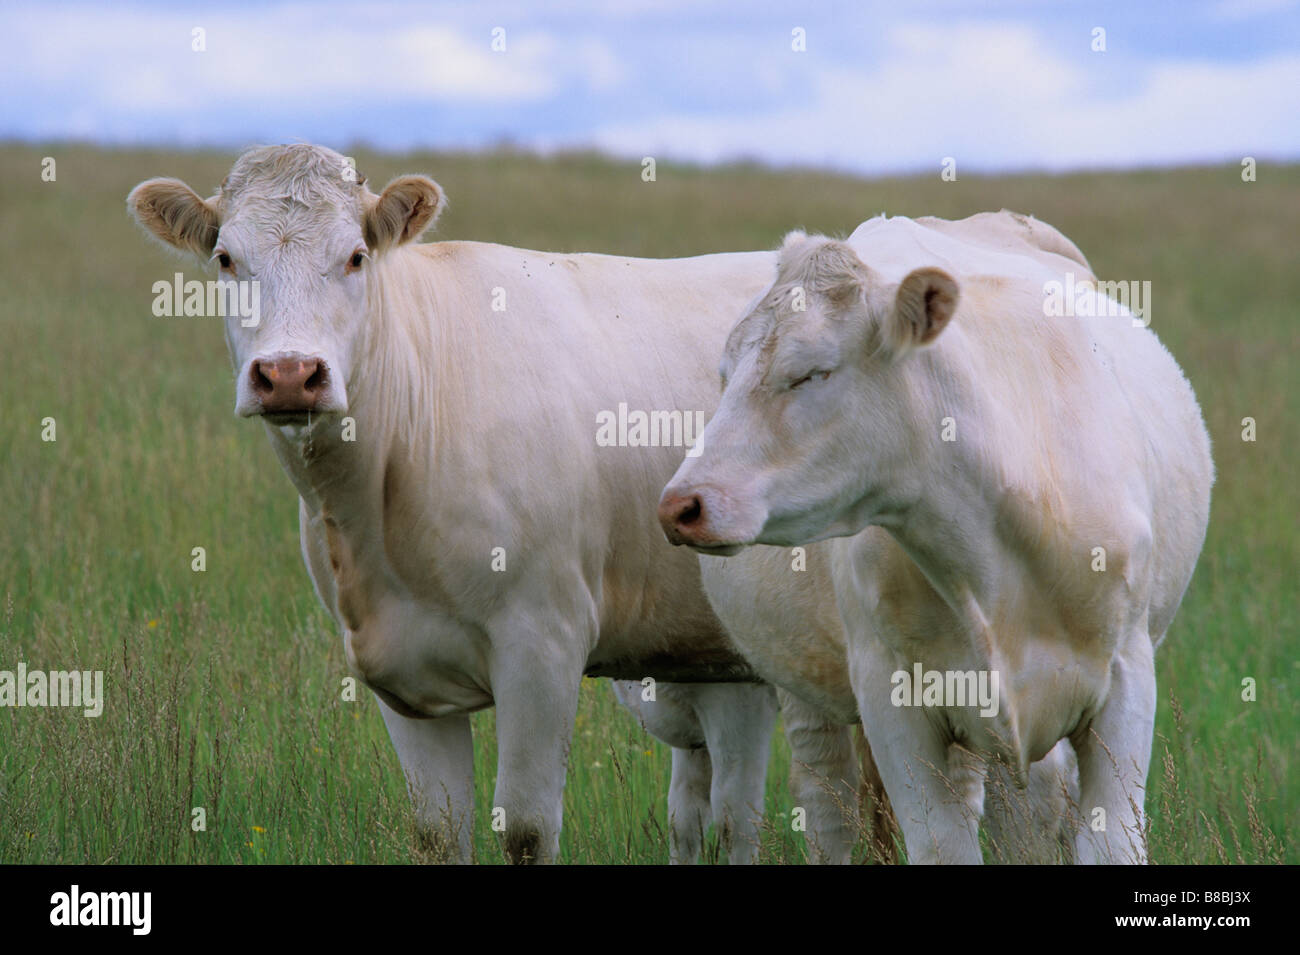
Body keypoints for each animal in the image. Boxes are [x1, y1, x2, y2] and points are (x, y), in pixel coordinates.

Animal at [127, 143, 858, 864]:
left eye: (356, 256)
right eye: (226, 259)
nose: (287, 374)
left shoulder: (543, 641)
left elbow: (528, 829)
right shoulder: (400, 668)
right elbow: (437, 830)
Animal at [659, 211, 1213, 864]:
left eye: (811, 372)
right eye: (724, 375)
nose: (680, 506)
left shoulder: (1126, 681)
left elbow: (1106, 842)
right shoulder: (890, 700)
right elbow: (940, 845)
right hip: (799, 681)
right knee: (828, 803)